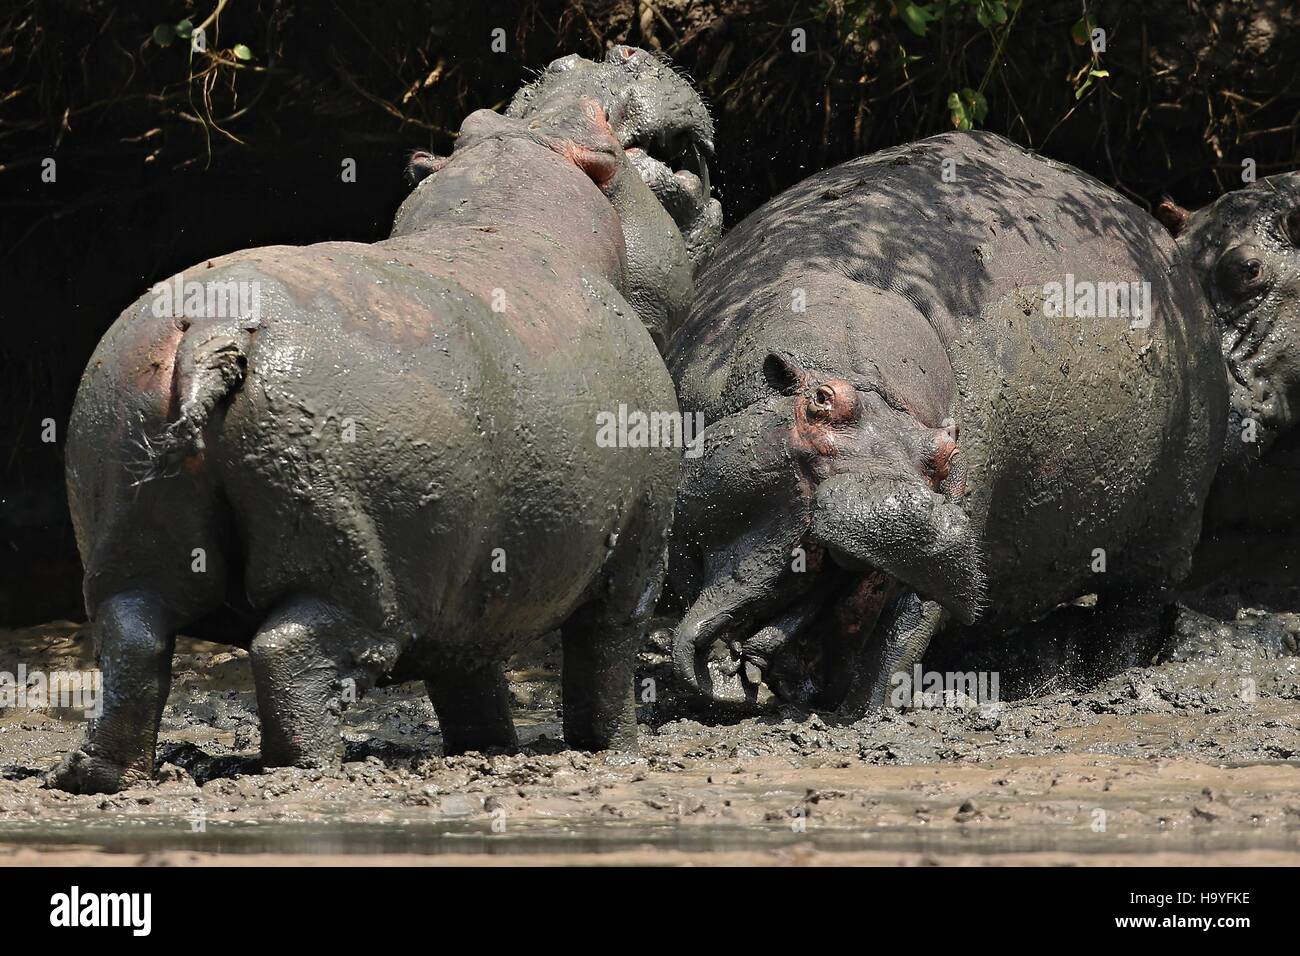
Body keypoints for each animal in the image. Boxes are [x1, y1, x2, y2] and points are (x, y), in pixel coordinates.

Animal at [48, 48, 719, 794]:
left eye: (478, 117)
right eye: (602, 123)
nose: (601, 53)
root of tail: (212, 332)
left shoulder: (469, 587)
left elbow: (469, 680)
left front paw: (486, 749)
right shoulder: (638, 547)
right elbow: (604, 661)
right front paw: (617, 751)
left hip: (128, 532)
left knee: (132, 642)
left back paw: (102, 775)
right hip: (348, 563)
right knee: (291, 652)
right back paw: (308, 770)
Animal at [665, 130, 1228, 714]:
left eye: (945, 451)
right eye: (820, 400)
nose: (907, 513)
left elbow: (902, 636)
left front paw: (866, 718)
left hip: (1165, 538)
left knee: (1130, 617)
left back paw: (1107, 679)